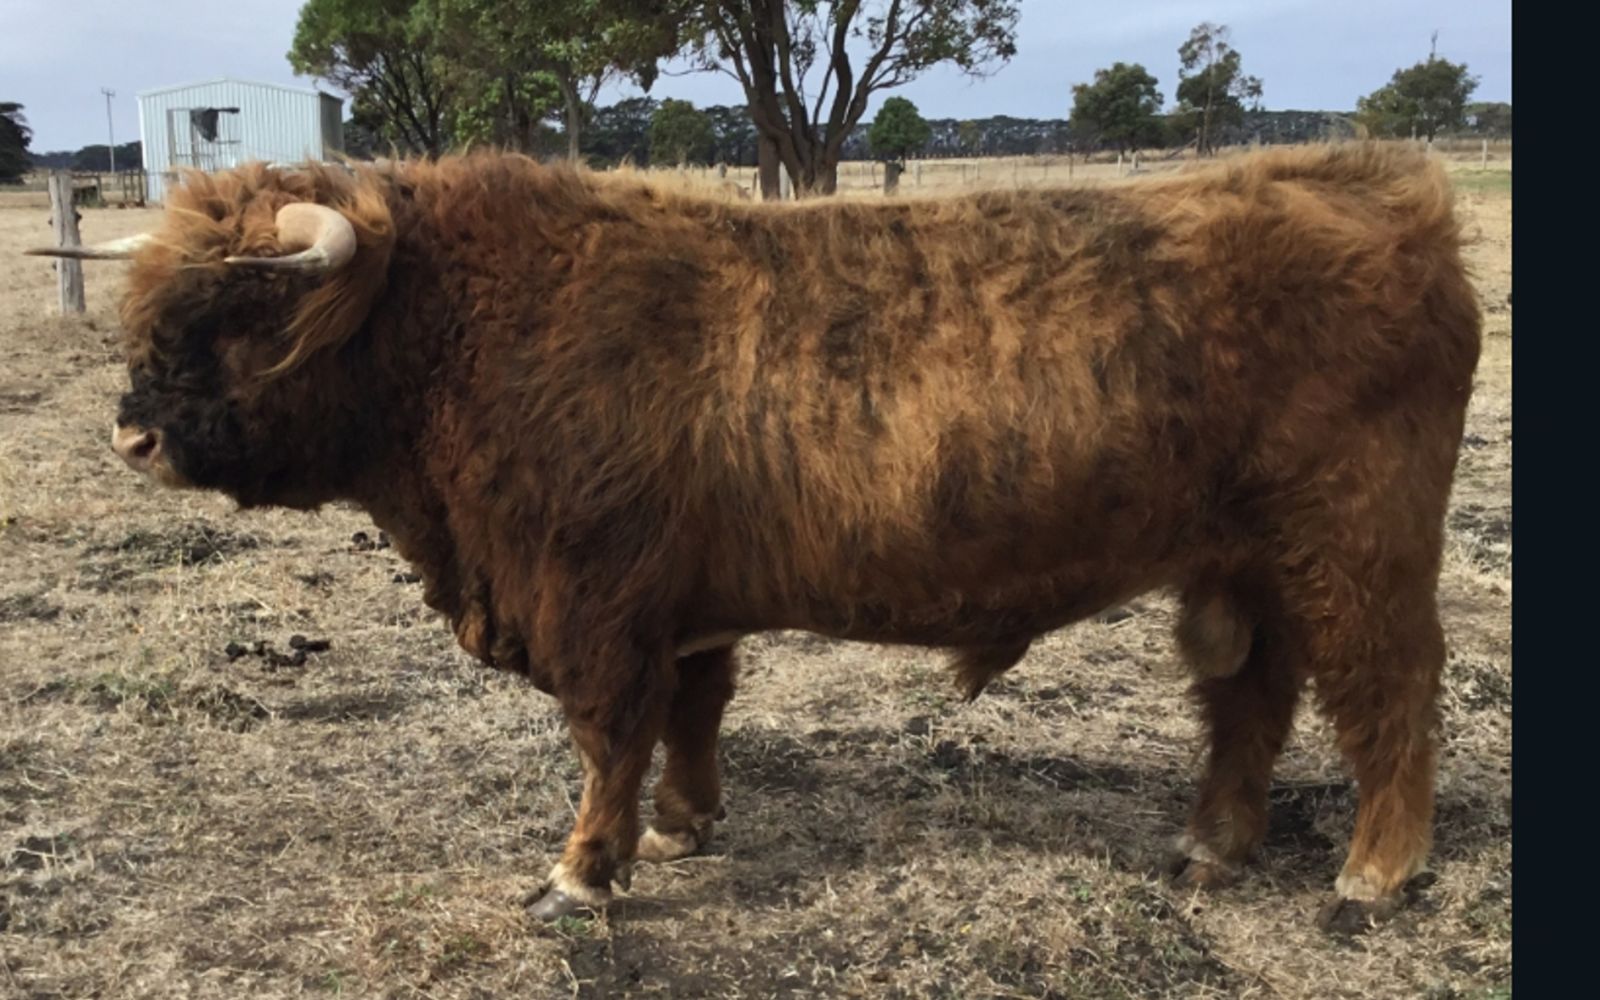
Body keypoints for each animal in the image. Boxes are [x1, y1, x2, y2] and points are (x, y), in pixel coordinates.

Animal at [28, 143, 1481, 934]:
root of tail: (1381, 187)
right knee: (1252, 698)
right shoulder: (677, 603)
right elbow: (690, 713)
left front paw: (582, 871)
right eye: (154, 302)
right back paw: (1213, 844)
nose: (133, 437)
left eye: (240, 314)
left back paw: (1372, 873)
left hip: (1357, 549)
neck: (467, 329)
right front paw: (681, 827)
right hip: (1249, 564)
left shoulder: (596, 602)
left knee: (1390, 693)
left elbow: (610, 734)